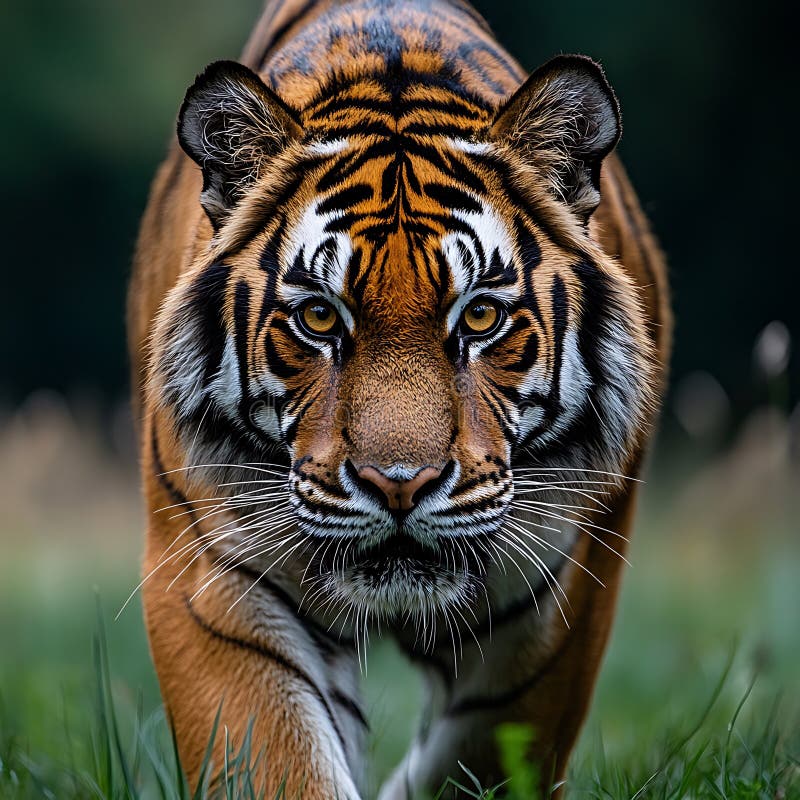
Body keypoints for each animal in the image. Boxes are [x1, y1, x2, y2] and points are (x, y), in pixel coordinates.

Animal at [128, 0, 671, 797]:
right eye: (319, 318)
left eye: (481, 316)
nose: (399, 485)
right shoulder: (213, 585)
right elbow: (280, 760)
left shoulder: (560, 608)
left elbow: (480, 753)